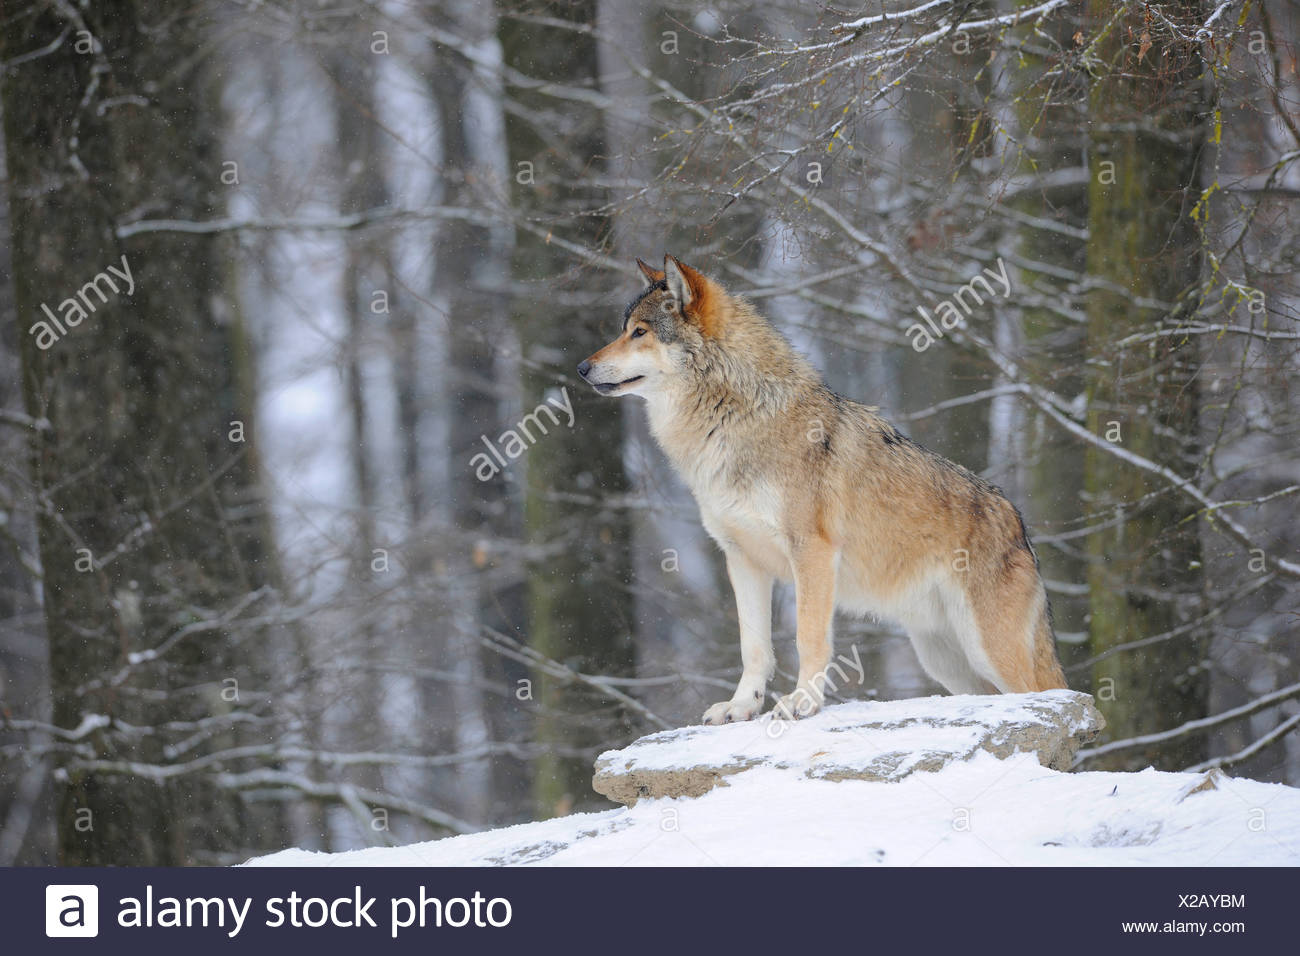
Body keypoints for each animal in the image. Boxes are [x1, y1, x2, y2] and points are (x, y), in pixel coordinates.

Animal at [578, 255, 1068, 724]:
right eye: (623, 330)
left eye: (639, 332)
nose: (581, 367)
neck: (732, 419)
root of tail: (1019, 525)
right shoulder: (741, 559)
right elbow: (753, 647)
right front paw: (741, 707)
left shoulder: (811, 552)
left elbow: (807, 636)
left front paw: (803, 703)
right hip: (946, 661)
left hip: (990, 652)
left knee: (1052, 695)